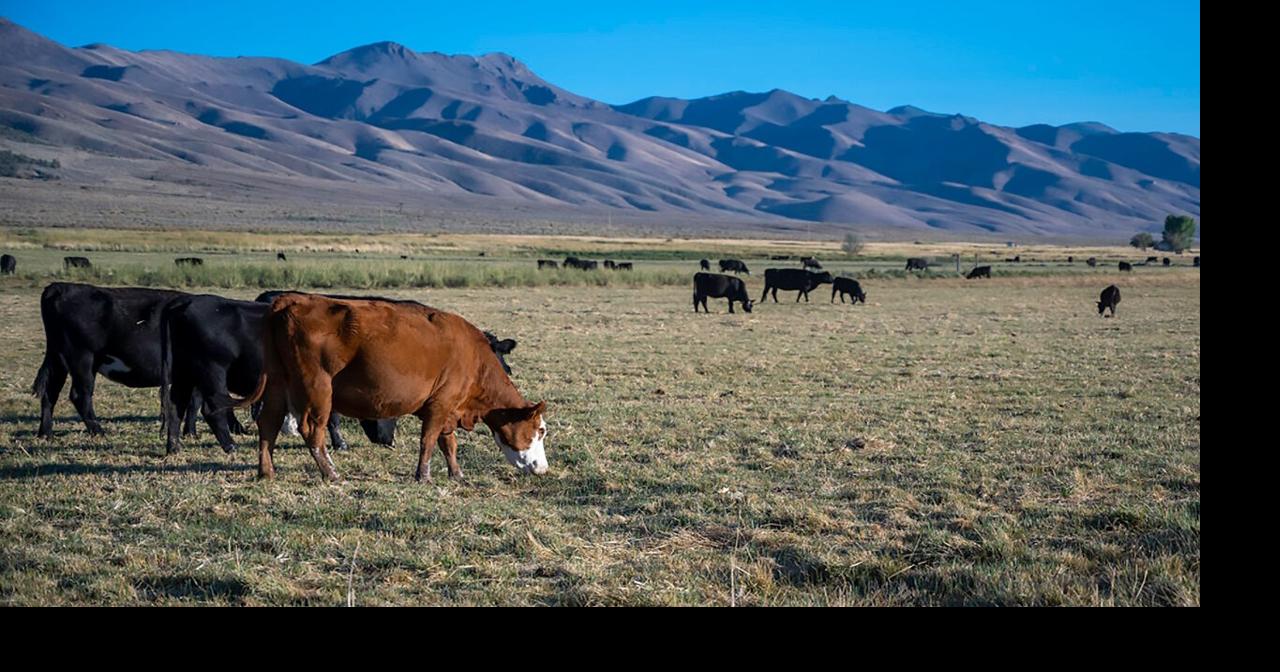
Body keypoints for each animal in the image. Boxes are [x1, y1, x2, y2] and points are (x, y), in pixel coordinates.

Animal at [31, 283, 201, 439]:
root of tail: (60, 286)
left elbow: (193, 403)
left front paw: (189, 432)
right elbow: (195, 403)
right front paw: (191, 433)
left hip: (58, 358)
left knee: (50, 392)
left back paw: (45, 434)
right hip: (82, 358)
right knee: (80, 395)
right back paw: (99, 432)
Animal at [240, 294, 548, 483]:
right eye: (540, 430)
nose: (542, 467)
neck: (474, 358)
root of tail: (290, 300)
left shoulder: (448, 408)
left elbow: (448, 443)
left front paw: (456, 474)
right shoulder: (439, 405)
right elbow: (429, 440)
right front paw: (424, 475)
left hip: (277, 383)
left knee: (268, 423)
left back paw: (266, 472)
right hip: (317, 389)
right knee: (312, 430)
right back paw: (331, 473)